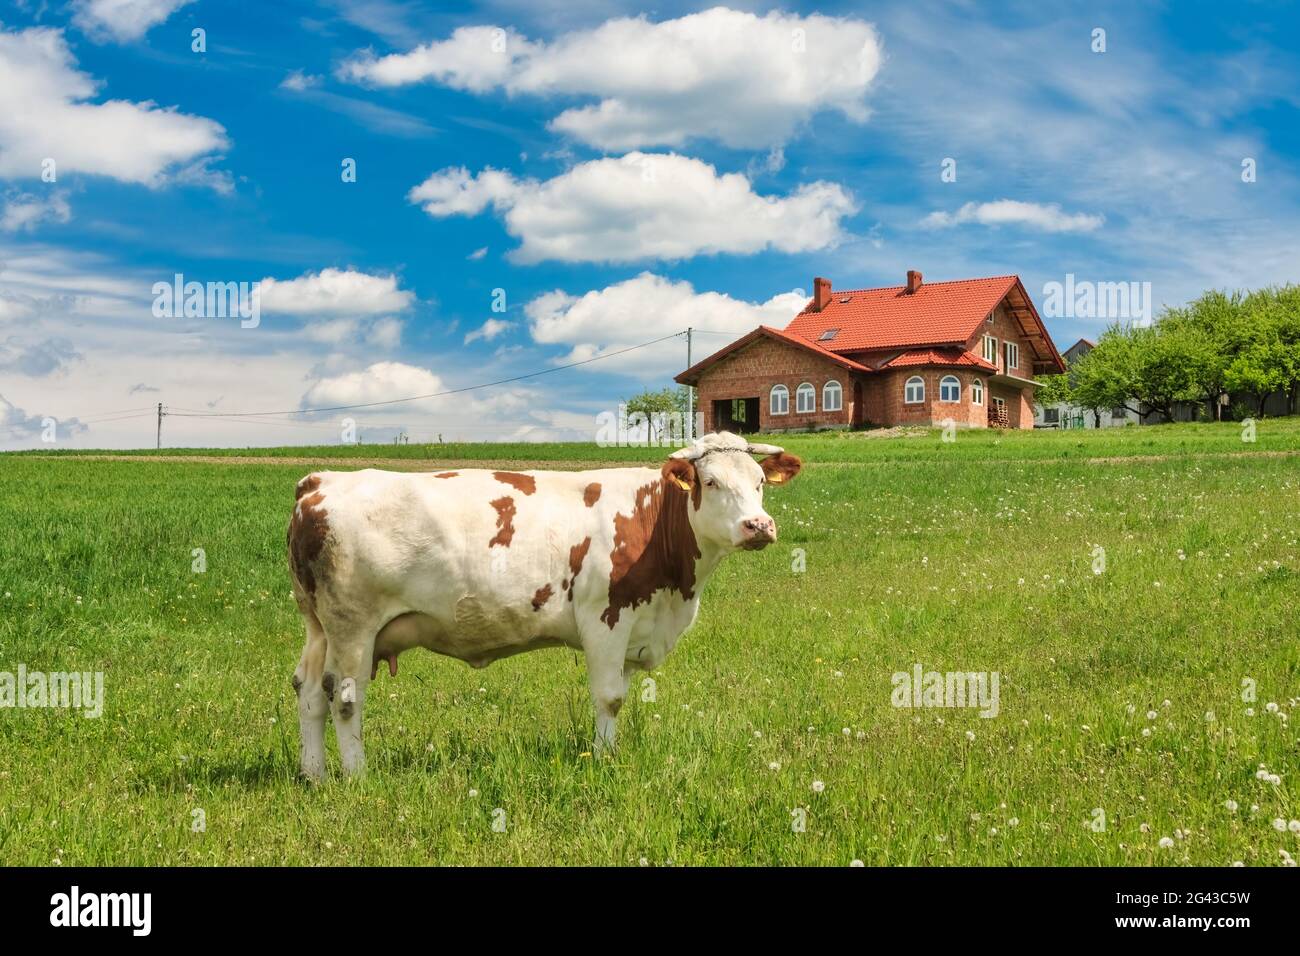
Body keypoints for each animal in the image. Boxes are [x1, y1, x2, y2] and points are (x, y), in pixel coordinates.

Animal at [286, 431, 802, 779]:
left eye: (760, 481)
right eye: (710, 482)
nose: (759, 525)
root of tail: (321, 479)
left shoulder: (637, 628)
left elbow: (620, 695)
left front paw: (609, 753)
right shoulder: (605, 617)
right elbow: (609, 697)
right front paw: (604, 761)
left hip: (318, 627)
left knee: (309, 691)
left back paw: (314, 775)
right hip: (353, 627)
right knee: (345, 699)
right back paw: (356, 777)